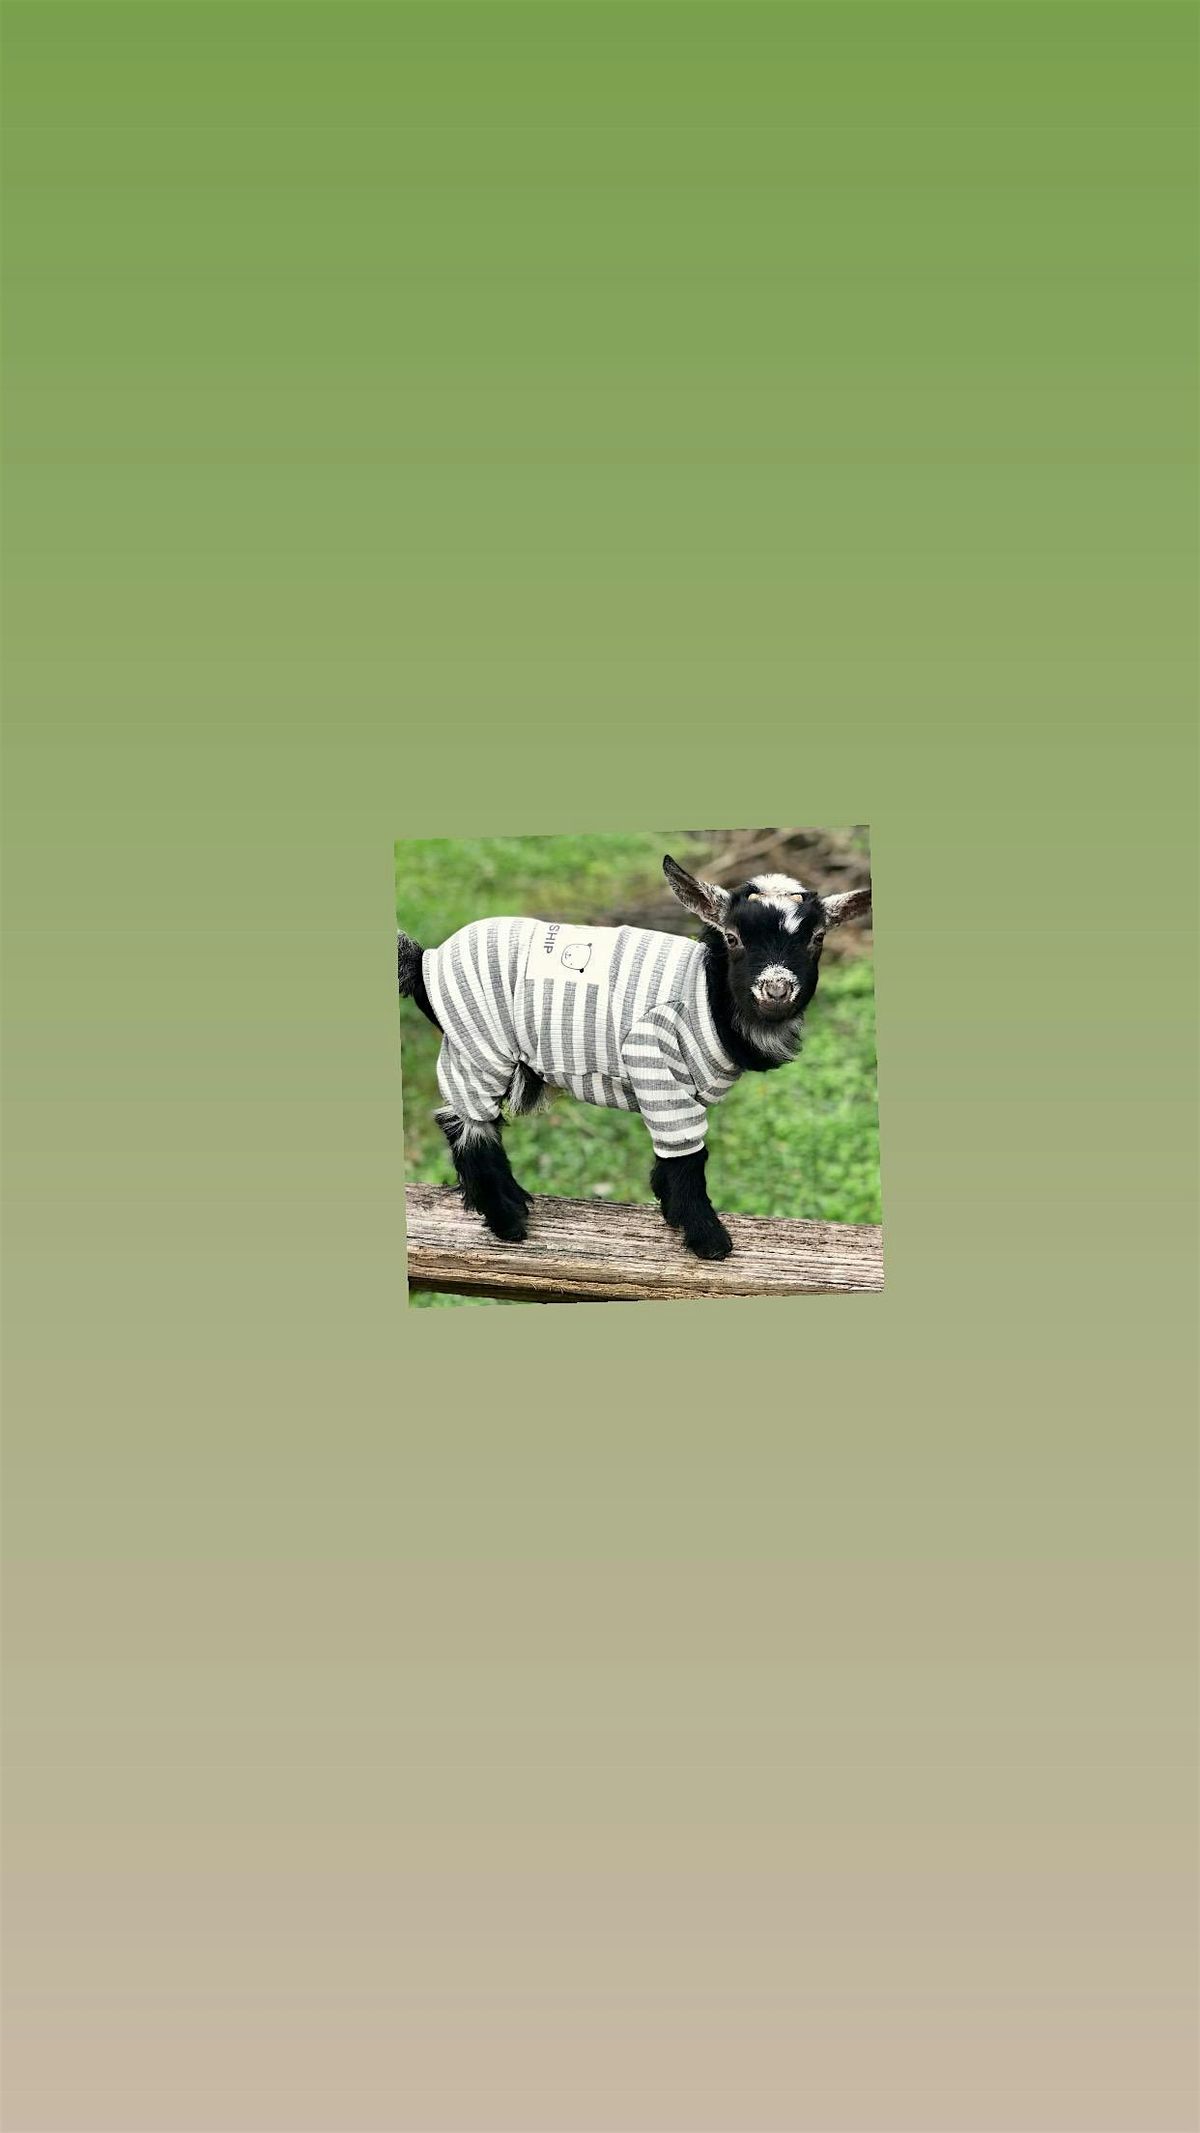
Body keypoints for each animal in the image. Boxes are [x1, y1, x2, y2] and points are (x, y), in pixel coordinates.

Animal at [397, 855, 871, 1260]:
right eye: (733, 938)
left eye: (816, 939)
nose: (775, 989)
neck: (710, 995)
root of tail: (426, 959)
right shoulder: (655, 1058)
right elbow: (686, 1155)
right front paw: (708, 1240)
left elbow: (674, 1158)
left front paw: (673, 1214)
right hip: (480, 1044)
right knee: (470, 1128)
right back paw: (507, 1222)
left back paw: (513, 1201)